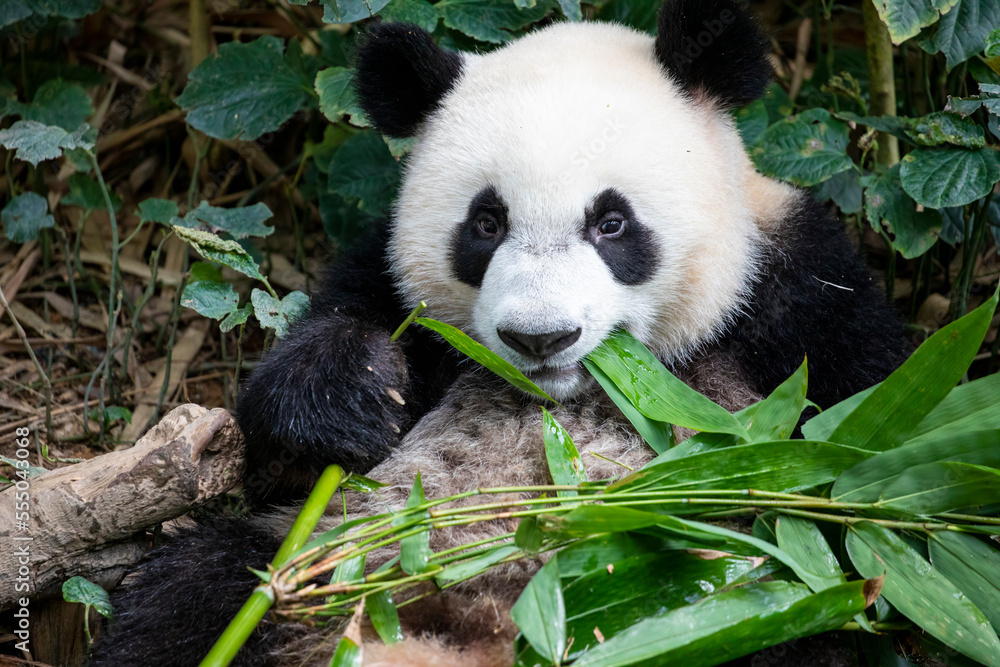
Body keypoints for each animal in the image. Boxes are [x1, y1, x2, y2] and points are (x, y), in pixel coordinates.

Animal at [94, 1, 907, 665]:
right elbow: (276, 443)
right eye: (486, 223)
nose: (539, 338)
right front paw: (352, 396)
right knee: (192, 595)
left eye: (612, 223)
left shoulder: (796, 293)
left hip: (745, 608)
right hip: (321, 561)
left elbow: (864, 471)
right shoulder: (389, 283)